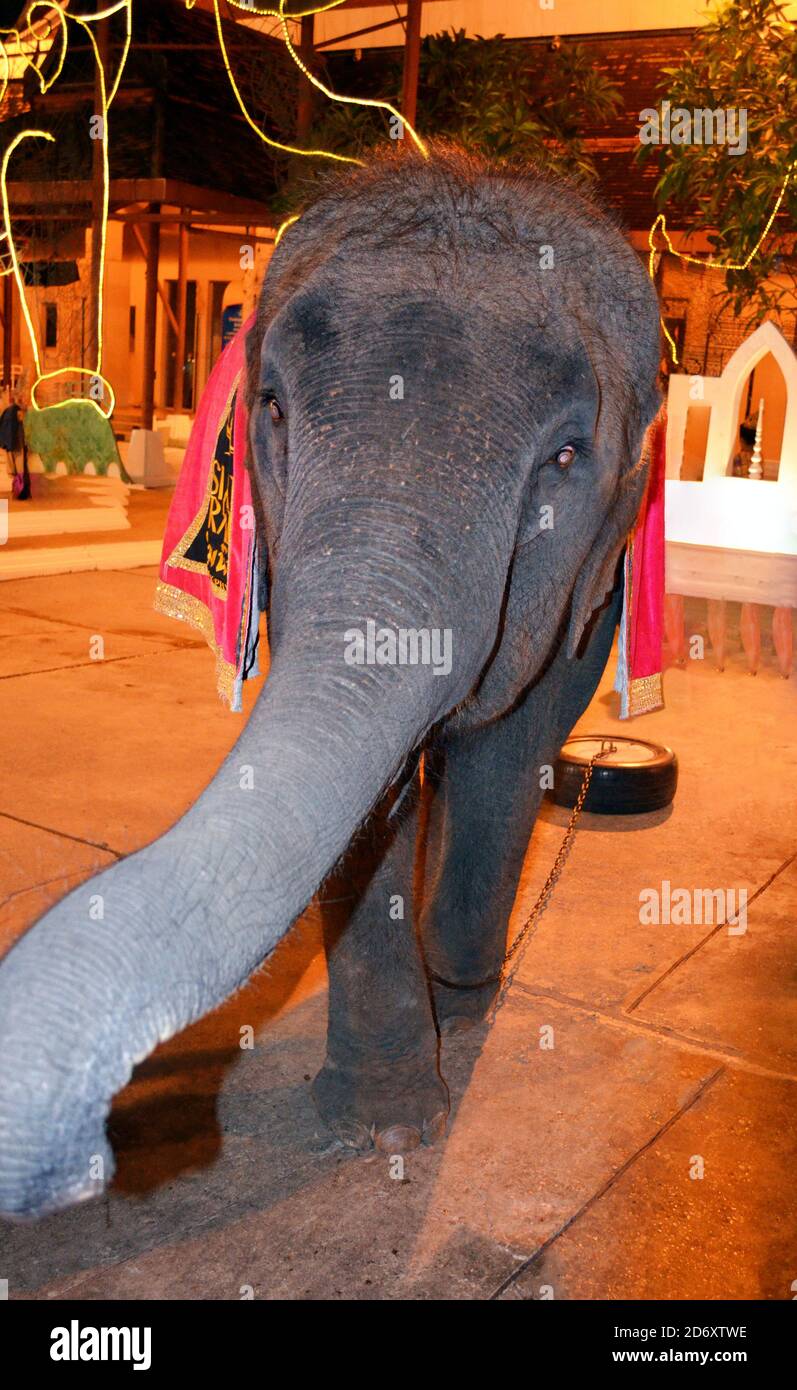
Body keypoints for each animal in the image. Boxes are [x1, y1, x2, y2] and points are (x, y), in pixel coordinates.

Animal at [0, 145, 661, 1219]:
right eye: (270, 407)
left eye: (565, 458)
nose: (82, 1148)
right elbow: (367, 807)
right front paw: (383, 1125)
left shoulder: (586, 584)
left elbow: (512, 738)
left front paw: (457, 999)